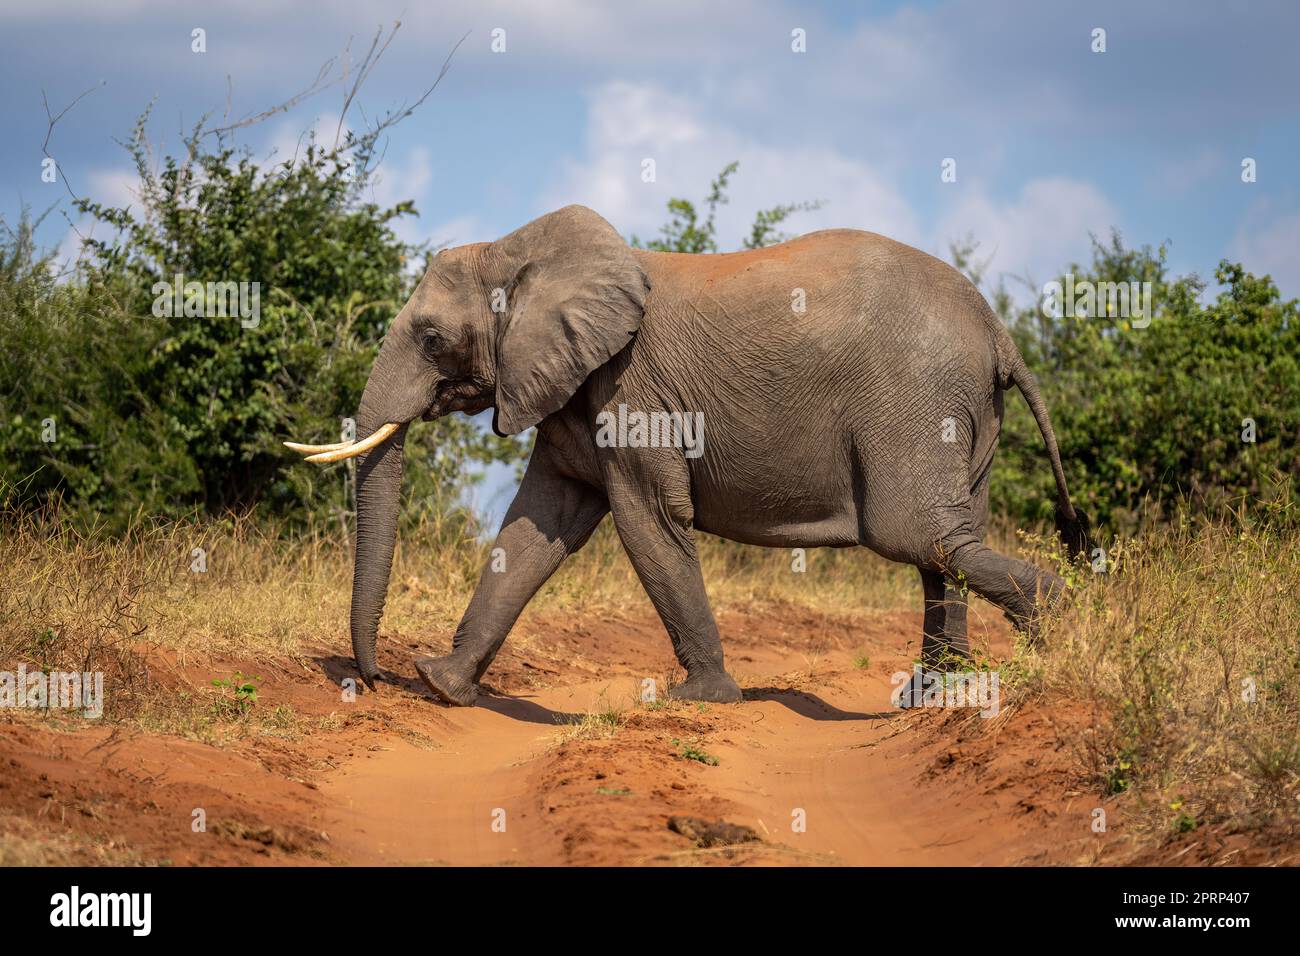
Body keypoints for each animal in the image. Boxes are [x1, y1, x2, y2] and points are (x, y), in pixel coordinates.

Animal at [285, 205, 1091, 706]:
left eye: (429, 339)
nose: (375, 678)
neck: (519, 252)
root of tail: (997, 328)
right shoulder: (575, 389)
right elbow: (541, 525)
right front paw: (442, 685)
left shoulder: (630, 386)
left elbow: (646, 519)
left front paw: (698, 699)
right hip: (961, 416)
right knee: (945, 543)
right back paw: (936, 698)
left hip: (916, 401)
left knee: (916, 535)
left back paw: (1055, 631)